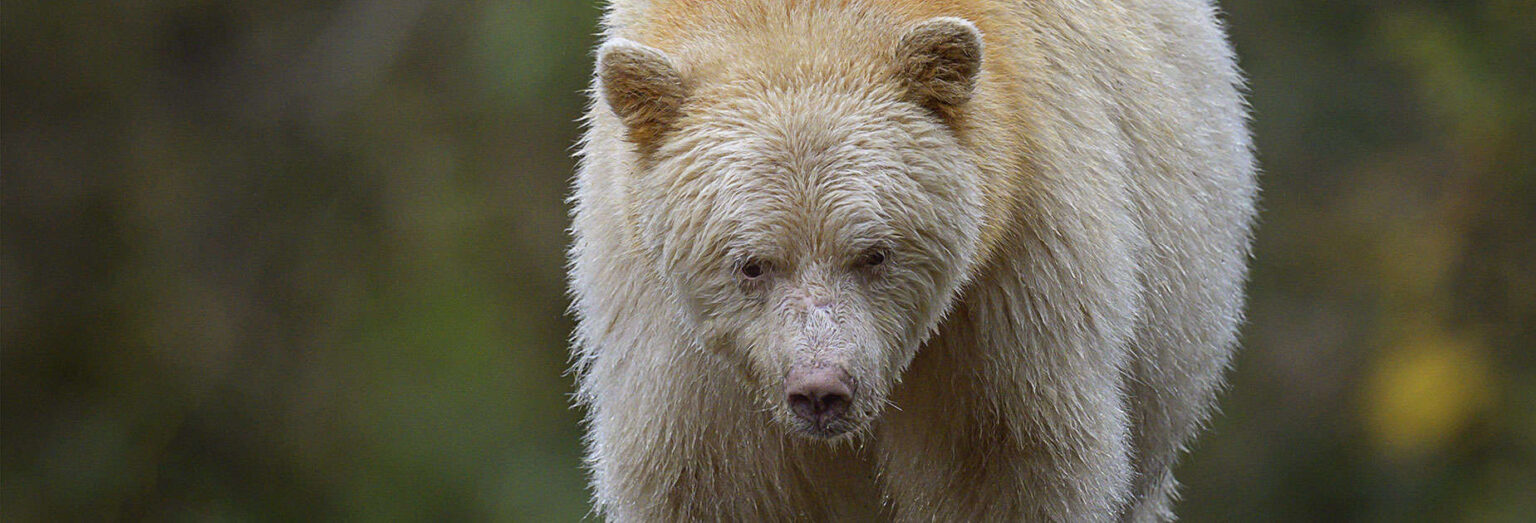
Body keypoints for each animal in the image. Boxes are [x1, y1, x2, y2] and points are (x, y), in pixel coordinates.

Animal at [567, 0, 1257, 520]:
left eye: (875, 253)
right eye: (752, 264)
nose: (821, 390)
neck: (797, 20)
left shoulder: (1011, 291)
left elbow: (1007, 465)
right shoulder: (679, 353)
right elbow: (710, 481)